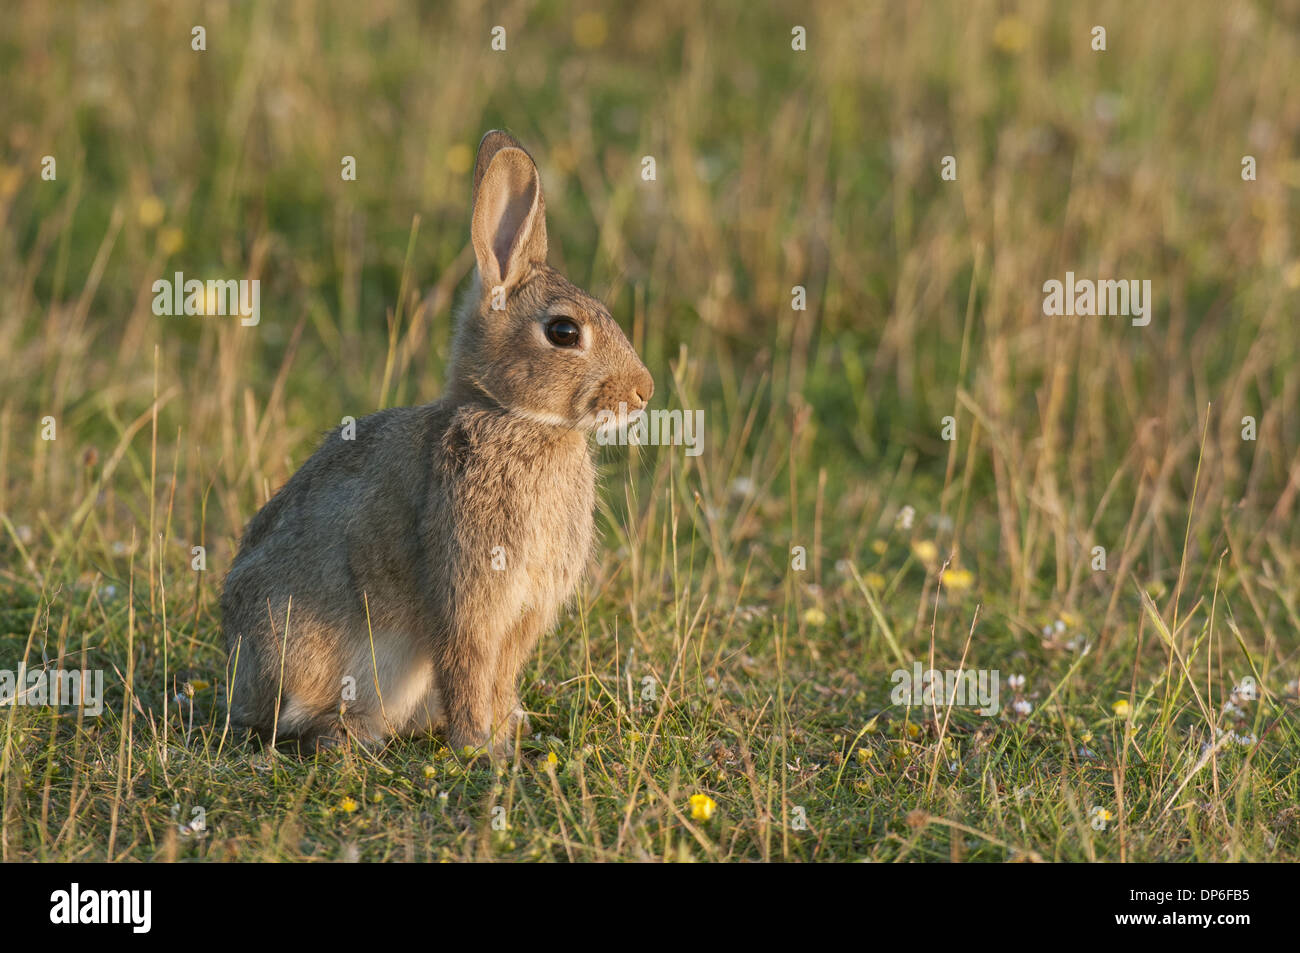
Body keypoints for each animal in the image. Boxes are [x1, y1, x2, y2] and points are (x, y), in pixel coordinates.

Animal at [220, 130, 653, 757]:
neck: (512, 416)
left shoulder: (523, 613)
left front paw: (507, 730)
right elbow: (467, 665)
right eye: (564, 332)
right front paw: (481, 748)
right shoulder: (469, 592)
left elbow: (500, 674)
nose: (644, 392)